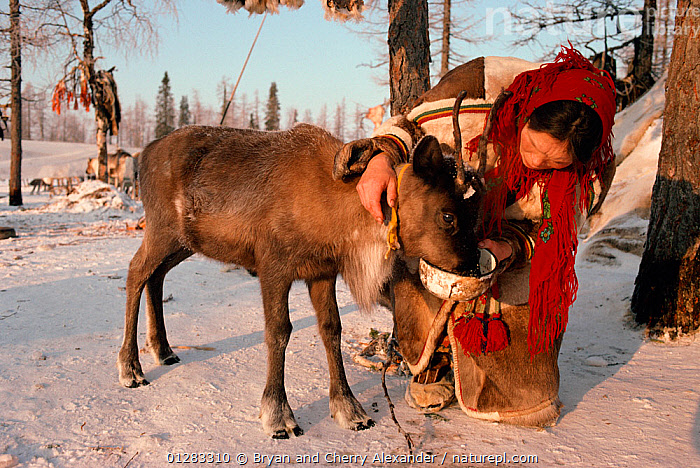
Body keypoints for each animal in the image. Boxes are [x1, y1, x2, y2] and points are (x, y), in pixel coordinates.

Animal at [117, 121, 485, 439]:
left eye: (473, 215)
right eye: (448, 216)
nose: (473, 270)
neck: (340, 214)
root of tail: (145, 153)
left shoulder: (321, 272)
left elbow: (331, 330)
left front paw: (350, 409)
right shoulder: (273, 266)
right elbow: (279, 332)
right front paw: (278, 416)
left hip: (184, 241)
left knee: (156, 276)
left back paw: (163, 350)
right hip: (162, 228)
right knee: (136, 272)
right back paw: (131, 368)